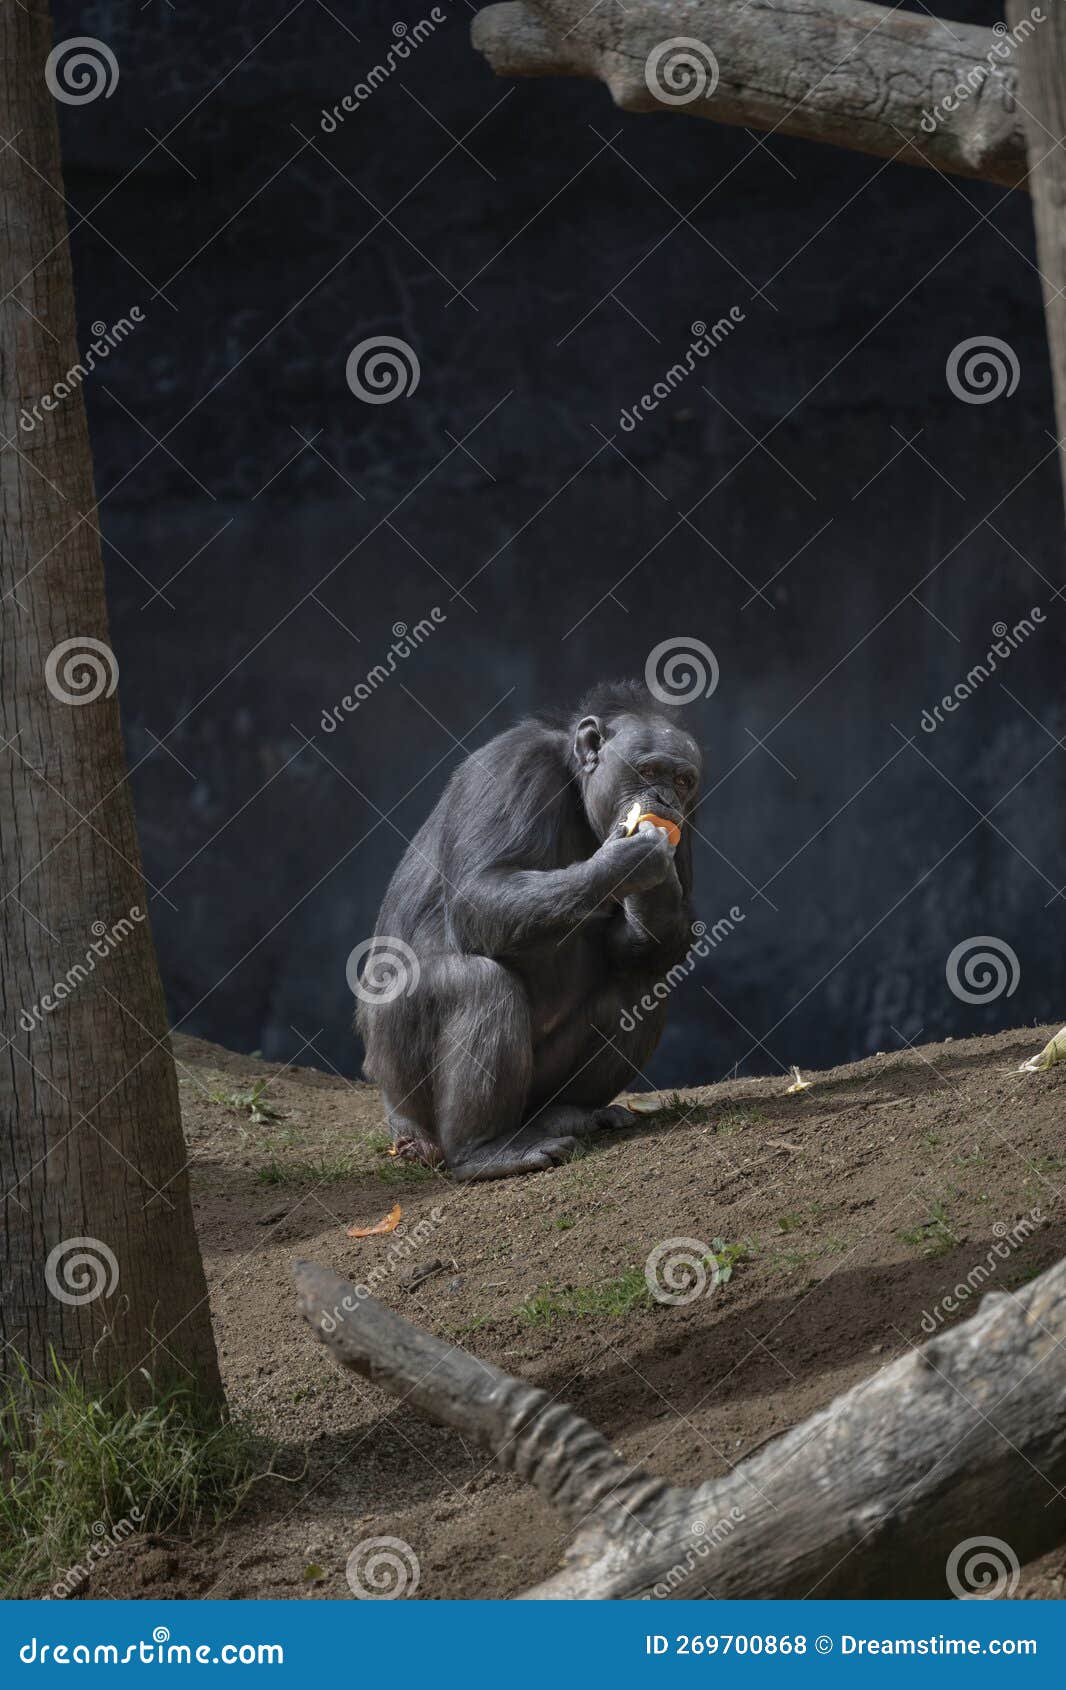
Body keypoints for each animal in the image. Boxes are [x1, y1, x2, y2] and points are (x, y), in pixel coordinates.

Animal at [355, 680, 702, 1180]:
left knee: (640, 986)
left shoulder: (686, 827)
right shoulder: (513, 767)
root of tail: (398, 1124)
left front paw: (656, 897)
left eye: (683, 781)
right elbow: (480, 892)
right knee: (479, 987)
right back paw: (484, 1151)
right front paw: (628, 863)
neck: (577, 789)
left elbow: (640, 950)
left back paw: (570, 1114)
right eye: (650, 770)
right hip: (401, 1078)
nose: (668, 801)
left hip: (535, 1092)